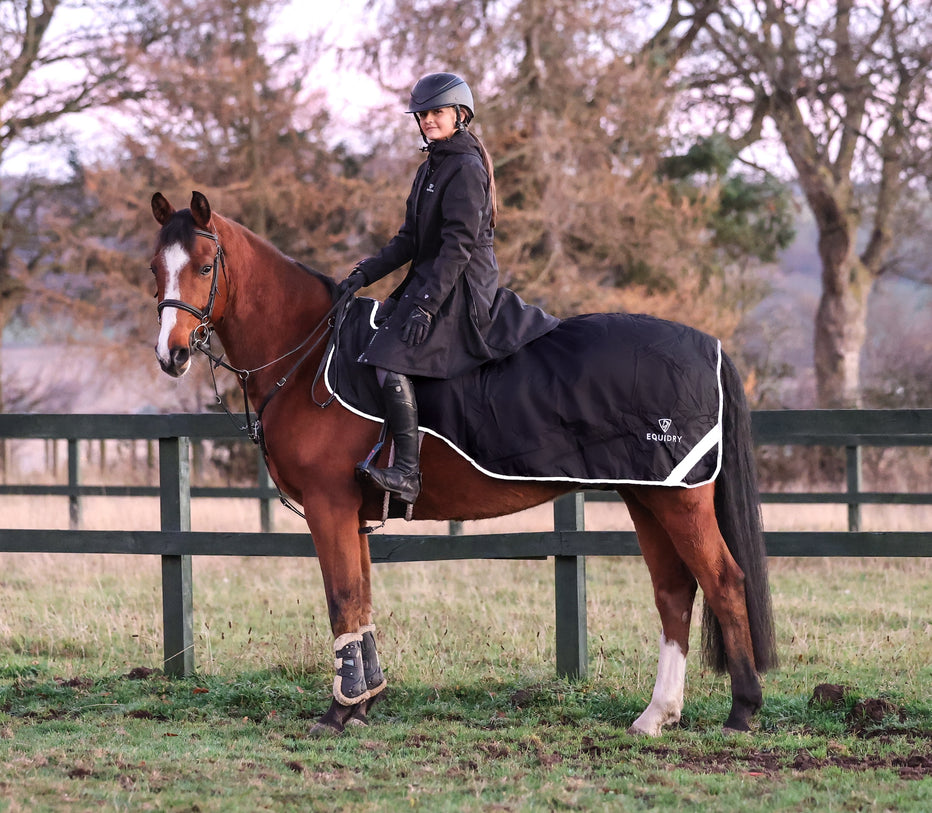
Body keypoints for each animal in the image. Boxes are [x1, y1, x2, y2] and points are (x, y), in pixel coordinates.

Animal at [149, 190, 776, 736]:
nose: (171, 354)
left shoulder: (329, 508)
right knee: (674, 591)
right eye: (156, 267)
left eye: (204, 266)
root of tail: (707, 344)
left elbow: (342, 600)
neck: (310, 360)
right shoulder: (354, 515)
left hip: (679, 499)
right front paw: (365, 702)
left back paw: (742, 710)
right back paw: (656, 715)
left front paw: (338, 712)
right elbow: (363, 600)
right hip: (646, 494)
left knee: (723, 581)